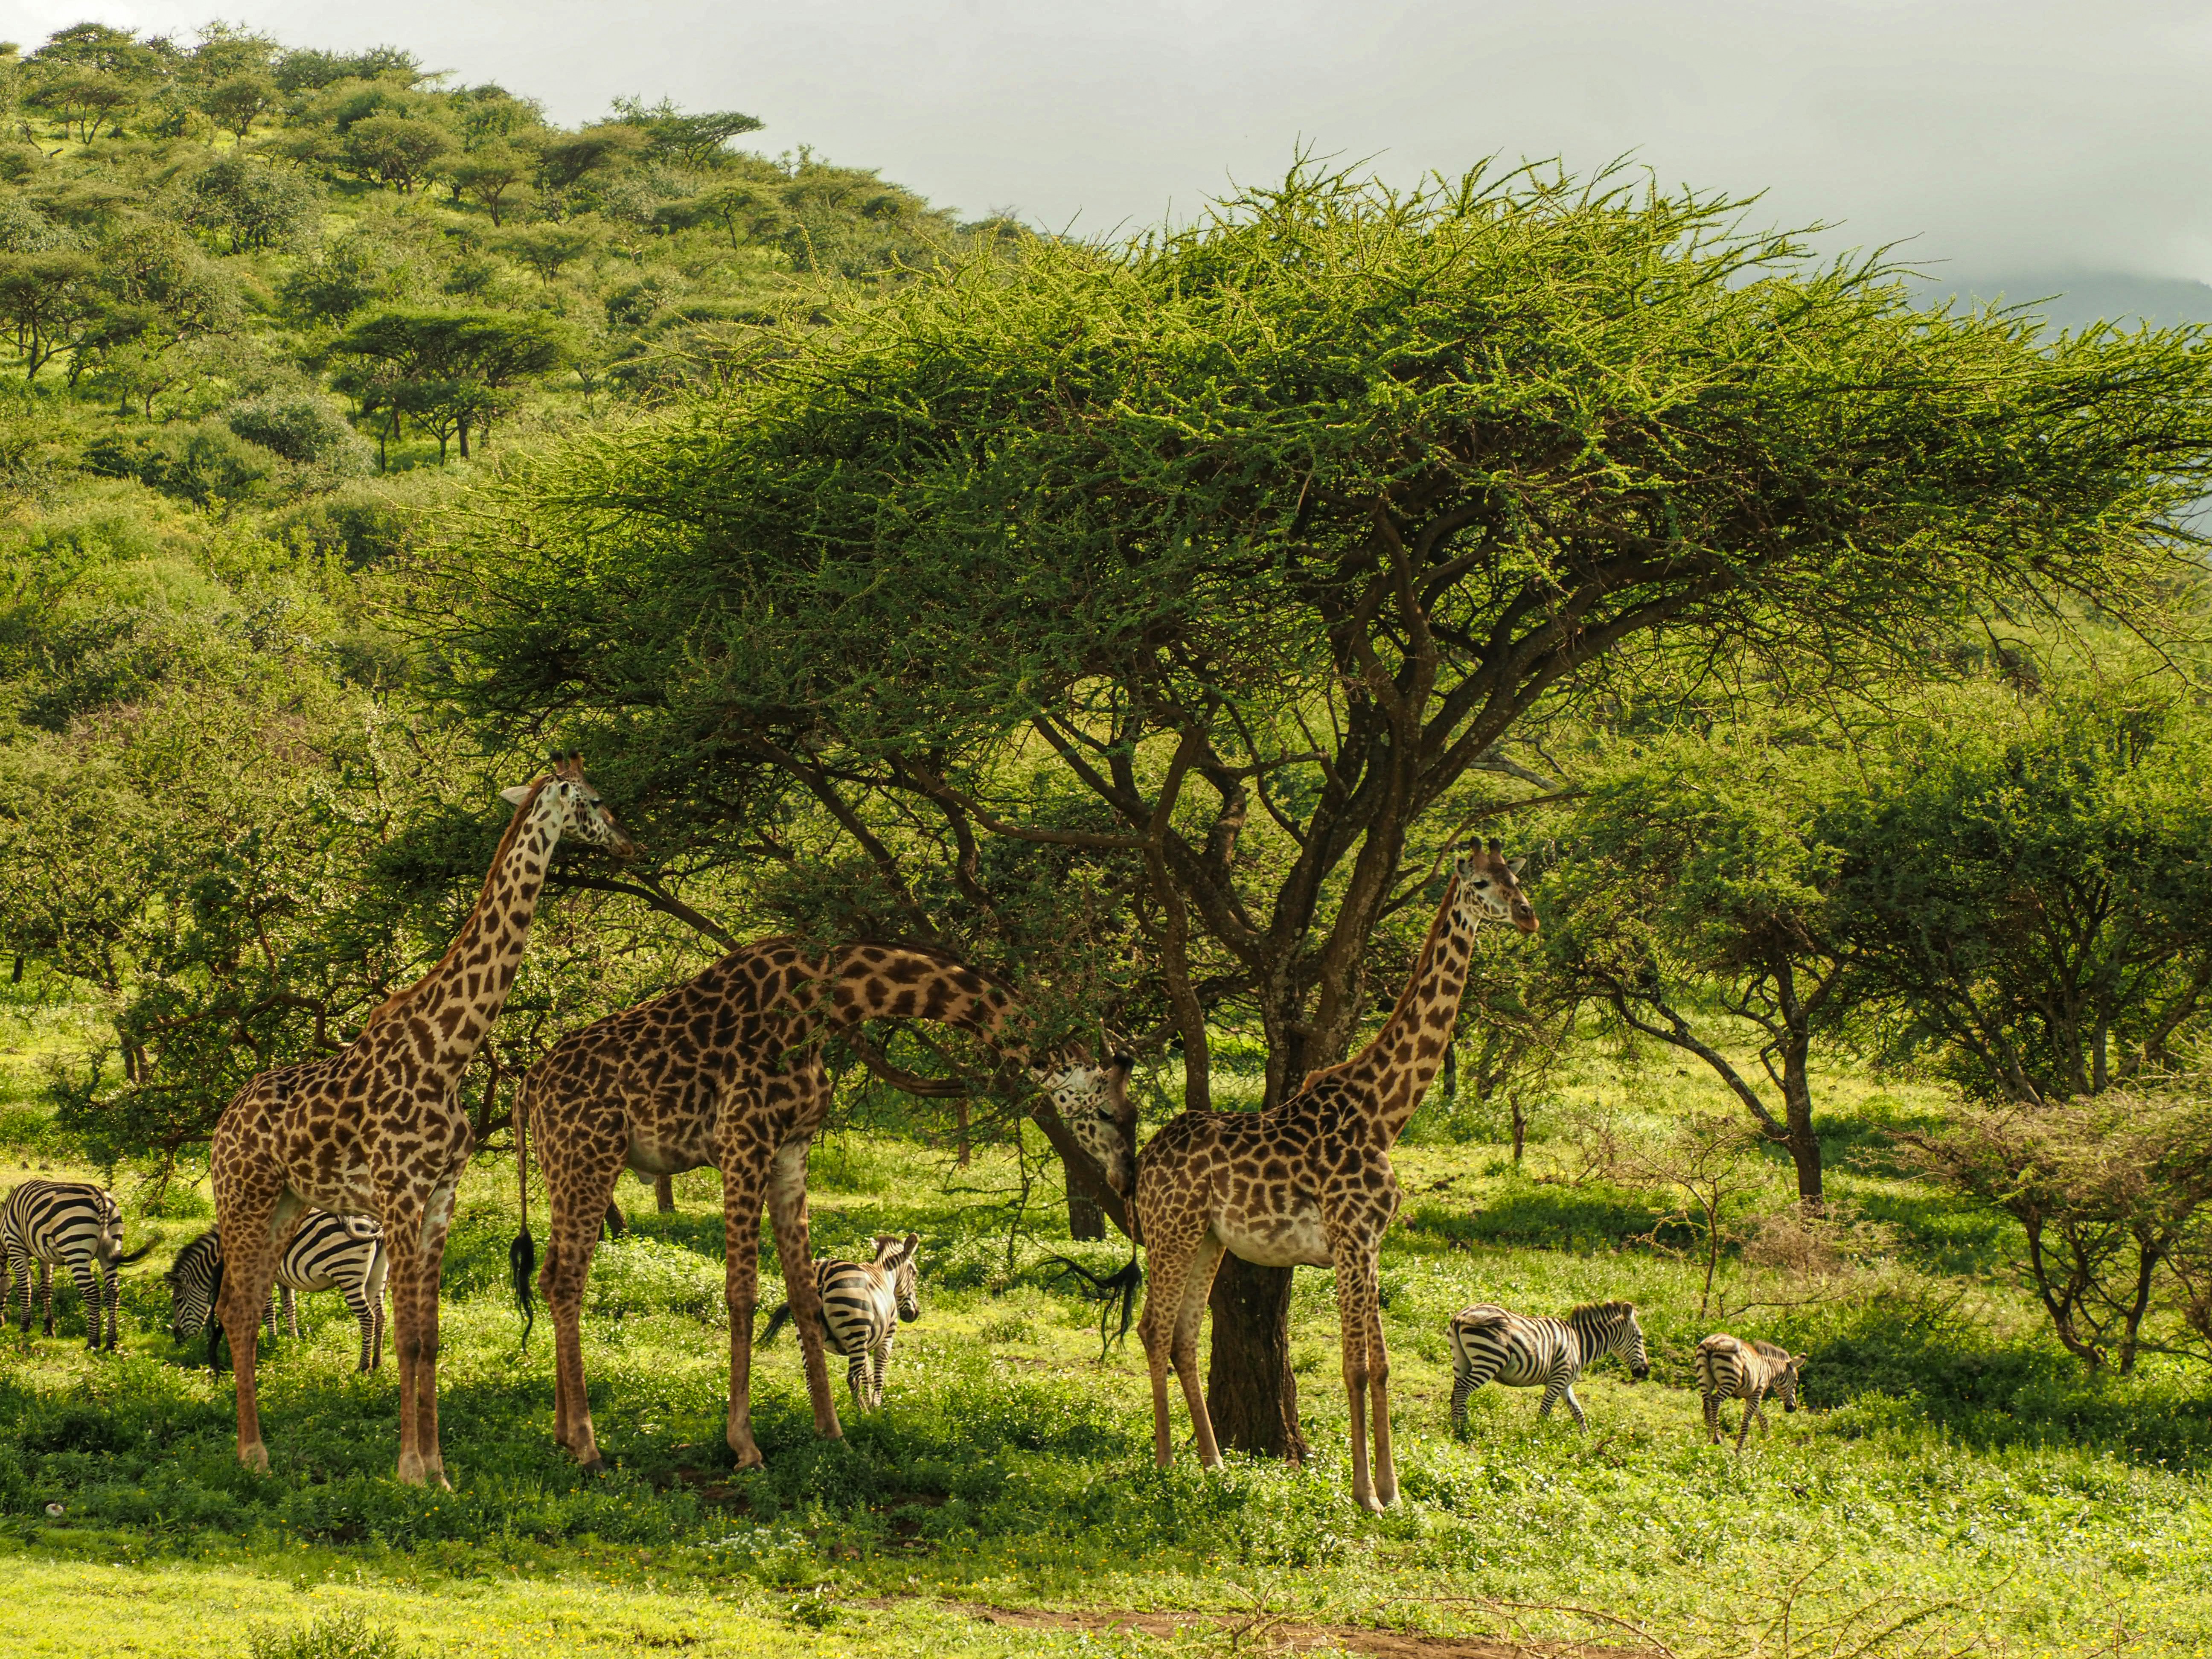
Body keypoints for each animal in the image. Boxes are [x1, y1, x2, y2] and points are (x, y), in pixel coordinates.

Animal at [209, 753, 635, 1486]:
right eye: (597, 798)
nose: (630, 844)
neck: (450, 1047)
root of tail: (218, 1129)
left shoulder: (441, 1195)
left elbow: (430, 1338)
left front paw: (439, 1471)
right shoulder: (400, 1193)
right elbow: (406, 1335)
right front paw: (411, 1468)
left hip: (287, 1204)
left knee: (251, 1302)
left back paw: (257, 1449)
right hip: (243, 1197)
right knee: (237, 1308)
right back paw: (252, 1455)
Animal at [511, 939, 1132, 1470]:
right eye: (1107, 1111)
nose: (1125, 1177)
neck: (825, 1005)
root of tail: (527, 1087)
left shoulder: (791, 1148)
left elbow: (804, 1293)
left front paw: (832, 1432)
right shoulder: (742, 1141)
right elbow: (742, 1293)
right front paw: (745, 1446)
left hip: (566, 1166)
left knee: (549, 1275)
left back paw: (563, 1433)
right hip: (589, 1156)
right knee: (565, 1281)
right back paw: (589, 1447)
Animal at [1131, 839, 1537, 1511]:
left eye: (1516, 877)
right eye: (1482, 883)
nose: (1529, 916)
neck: (1386, 1111)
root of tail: (1143, 1159)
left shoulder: (1371, 1241)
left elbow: (1383, 1364)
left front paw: (1392, 1492)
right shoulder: (1350, 1237)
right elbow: (1356, 1366)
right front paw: (1364, 1495)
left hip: (1211, 1239)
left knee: (1185, 1335)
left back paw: (1214, 1464)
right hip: (1173, 1229)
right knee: (1154, 1329)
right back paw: (1165, 1463)